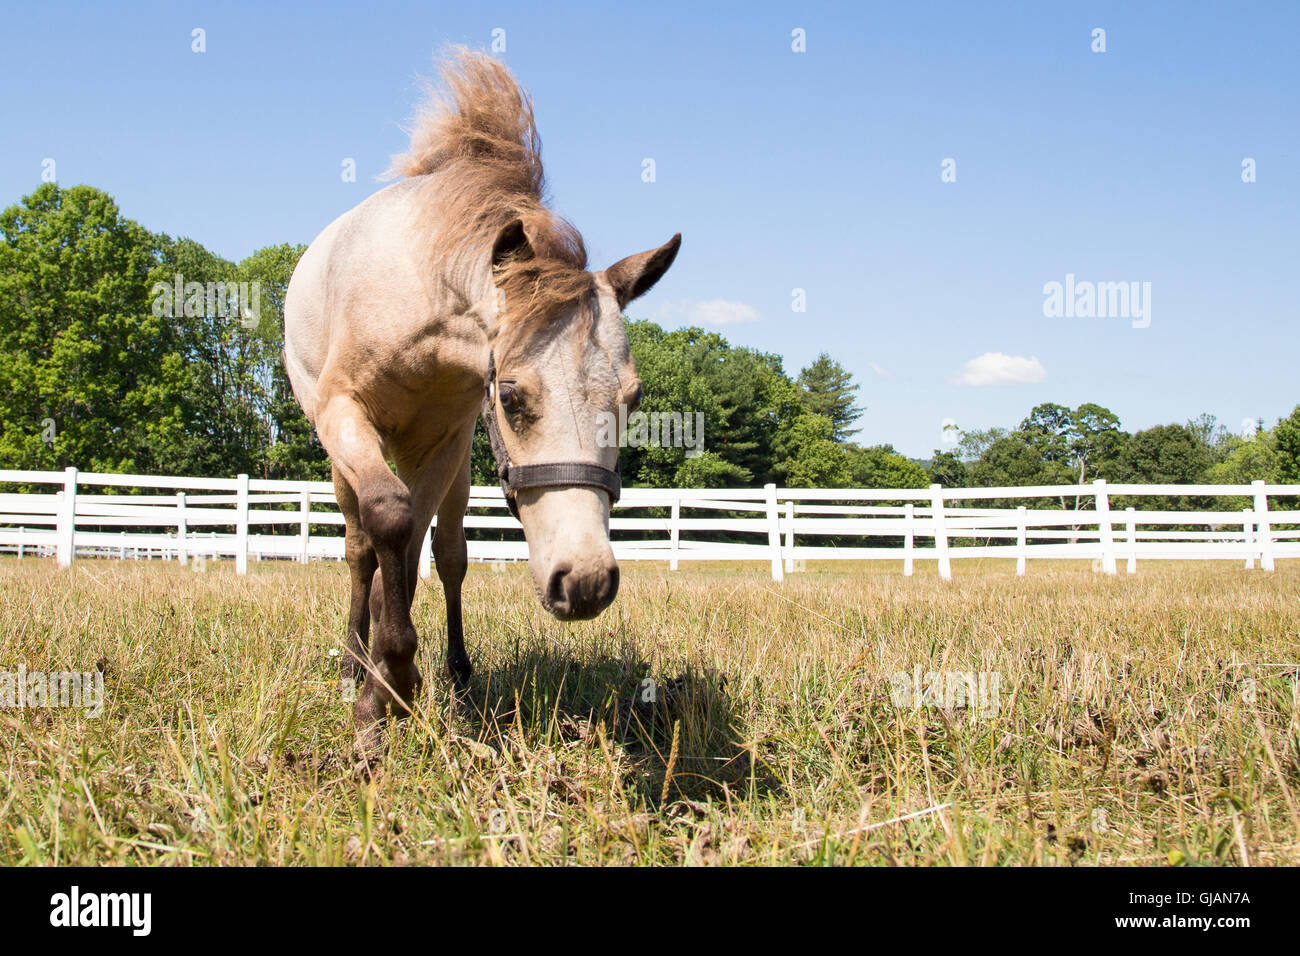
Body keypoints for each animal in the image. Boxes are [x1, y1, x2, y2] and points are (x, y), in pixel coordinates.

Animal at [282, 48, 680, 752]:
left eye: (633, 400)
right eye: (513, 395)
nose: (585, 582)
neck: (418, 295)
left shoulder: (445, 443)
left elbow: (420, 548)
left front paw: (395, 680)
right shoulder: (343, 415)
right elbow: (385, 524)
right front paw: (381, 688)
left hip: (452, 464)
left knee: (446, 554)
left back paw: (454, 669)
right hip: (343, 456)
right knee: (361, 546)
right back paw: (354, 657)